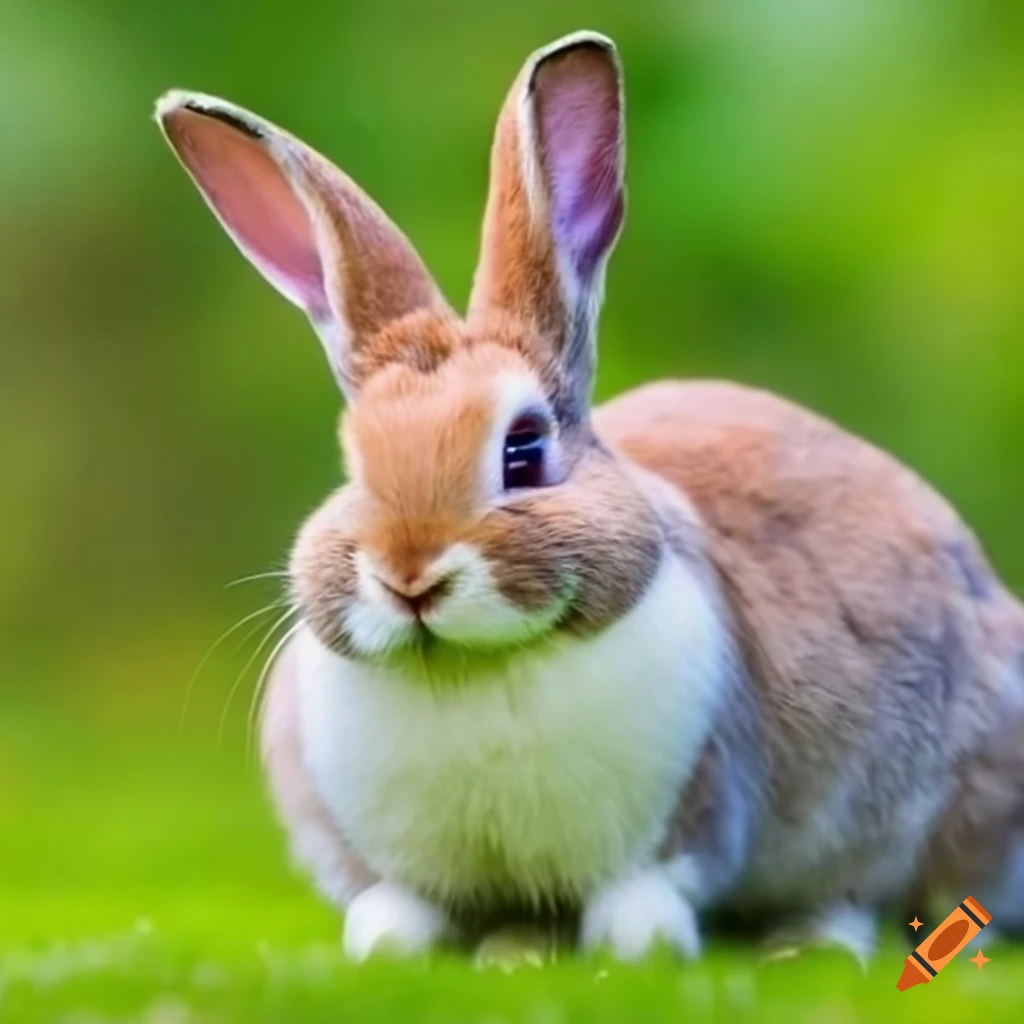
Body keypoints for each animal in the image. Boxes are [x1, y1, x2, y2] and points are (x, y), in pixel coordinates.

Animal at [155, 30, 1024, 963]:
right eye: (353, 464)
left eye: (524, 450)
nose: (410, 578)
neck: (472, 666)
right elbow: (400, 904)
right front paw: (405, 943)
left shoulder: (694, 808)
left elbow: (648, 888)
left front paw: (635, 945)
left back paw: (814, 937)